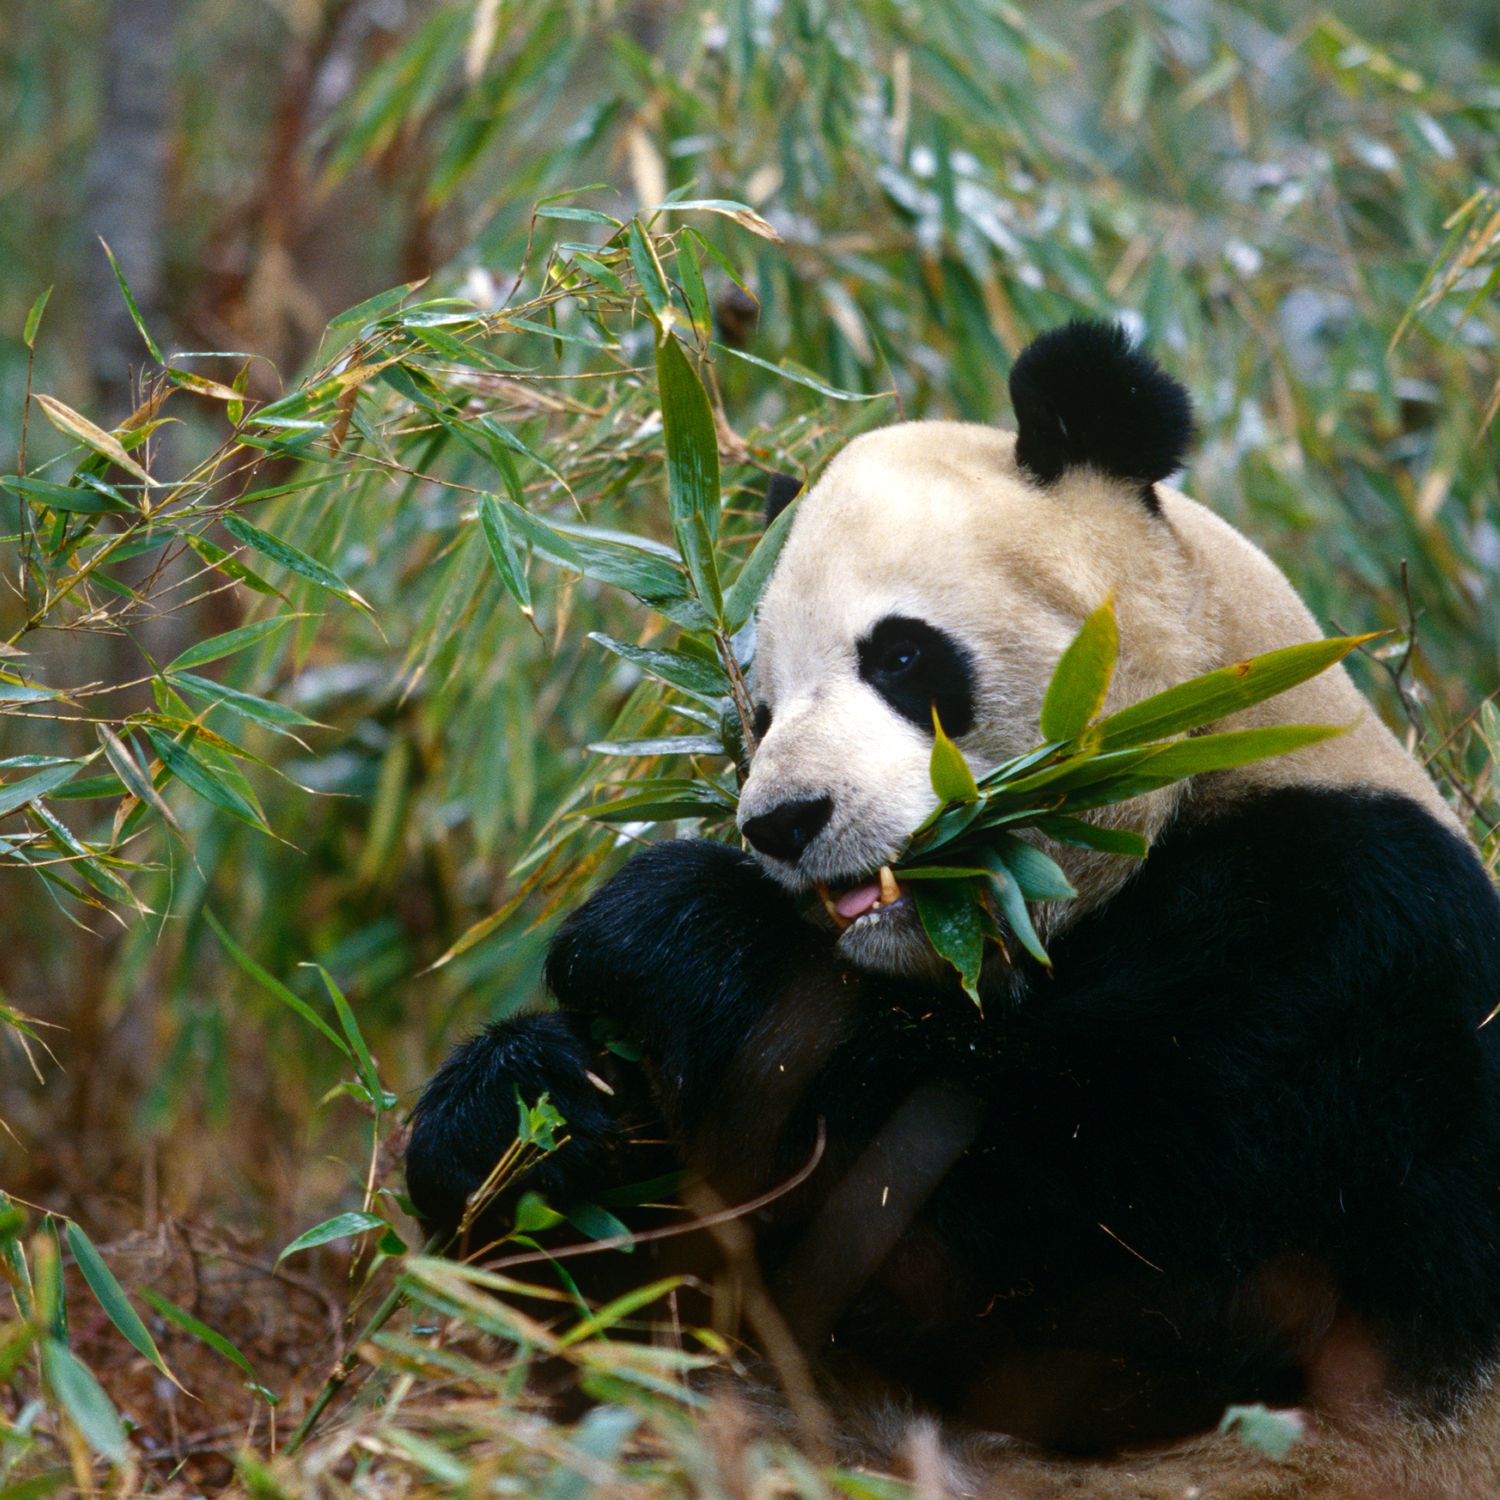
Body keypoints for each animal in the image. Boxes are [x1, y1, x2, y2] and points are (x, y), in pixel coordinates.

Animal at [406, 321, 1500, 1467]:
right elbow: (673, 1309)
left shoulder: (1346, 947)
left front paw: (657, 928)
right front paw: (525, 1112)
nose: (783, 822)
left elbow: (1086, 1245)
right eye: (759, 714)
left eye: (900, 656)